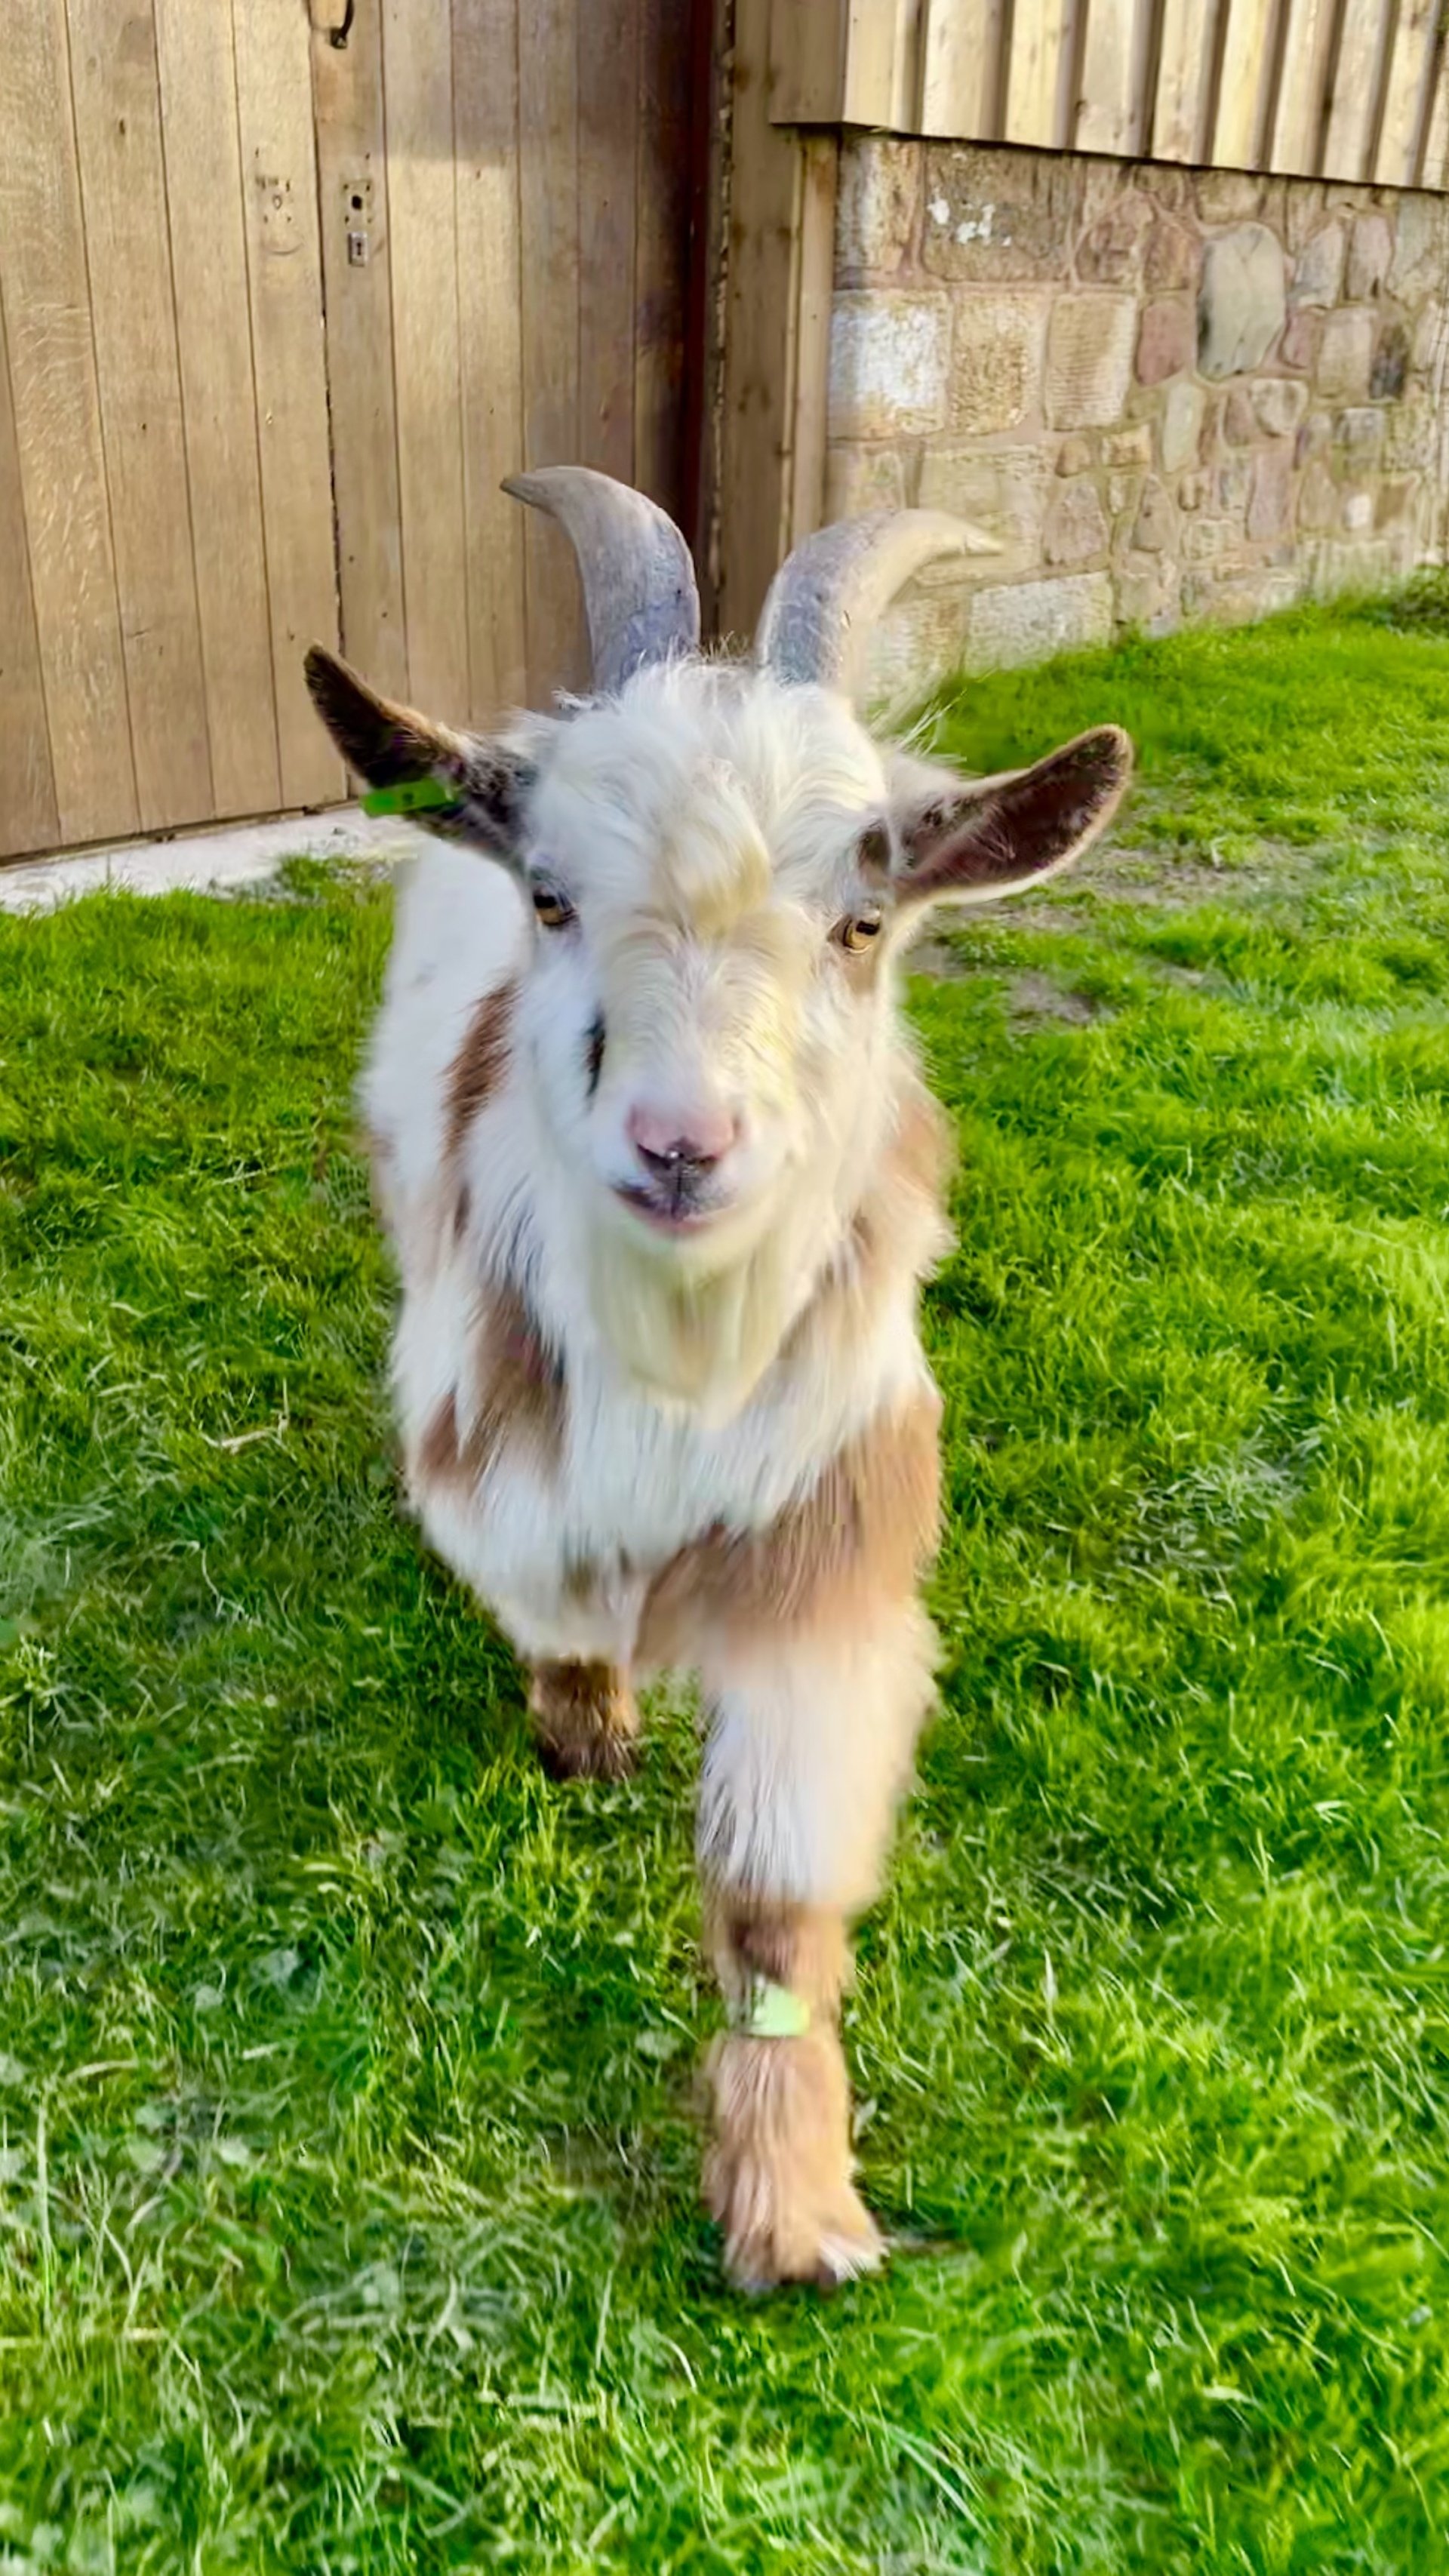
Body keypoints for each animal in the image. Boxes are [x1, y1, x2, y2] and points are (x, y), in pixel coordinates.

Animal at [304, 470, 1130, 2291]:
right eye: (554, 896)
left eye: (864, 920)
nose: (682, 1144)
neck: (678, 1360)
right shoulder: (493, 1434)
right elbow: (555, 1603)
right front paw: (589, 1725)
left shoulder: (830, 1544)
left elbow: (775, 1889)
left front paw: (795, 2202)